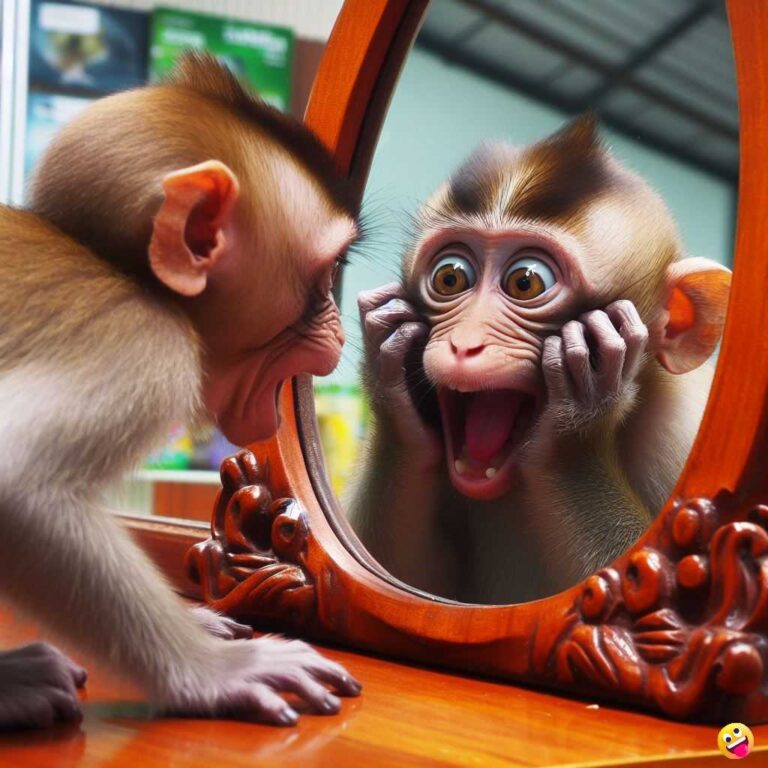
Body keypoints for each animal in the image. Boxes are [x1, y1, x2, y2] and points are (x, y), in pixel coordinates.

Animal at [0, 54, 363, 730]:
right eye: (327, 275)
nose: (342, 333)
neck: (126, 273)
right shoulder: (146, 349)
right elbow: (20, 484)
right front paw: (215, 672)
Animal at [347, 116, 731, 605]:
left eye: (525, 282)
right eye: (450, 277)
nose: (464, 345)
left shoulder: (683, 431)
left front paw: (576, 427)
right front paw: (389, 371)